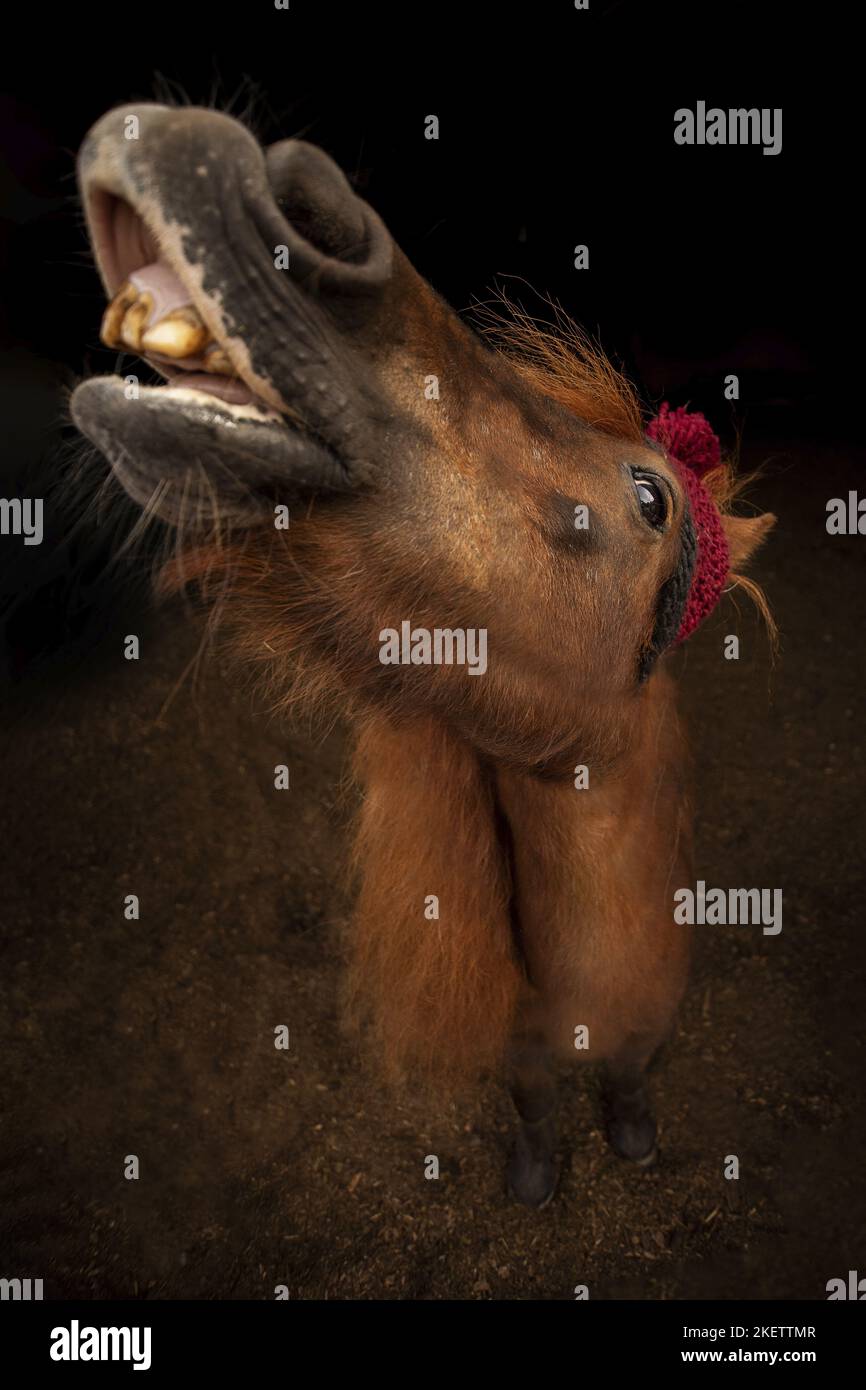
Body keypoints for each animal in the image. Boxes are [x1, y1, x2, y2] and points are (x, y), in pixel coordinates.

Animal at [71, 104, 775, 1207]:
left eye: (650, 496)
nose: (294, 192)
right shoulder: (520, 1054)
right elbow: (533, 1111)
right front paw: (535, 1179)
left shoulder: (640, 1035)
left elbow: (625, 1084)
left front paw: (631, 1139)